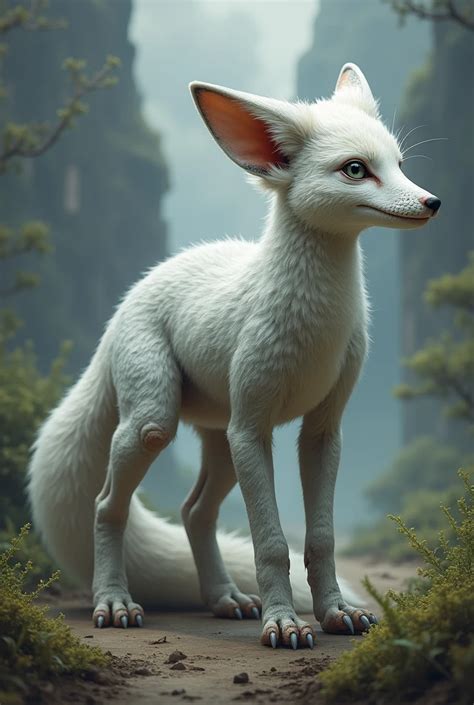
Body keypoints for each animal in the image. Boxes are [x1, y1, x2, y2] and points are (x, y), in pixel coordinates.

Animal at [28, 63, 440, 650]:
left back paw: (225, 599)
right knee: (109, 504)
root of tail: (128, 300)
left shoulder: (322, 429)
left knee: (194, 513)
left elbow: (320, 538)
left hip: (220, 440)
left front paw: (337, 613)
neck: (316, 328)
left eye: (399, 165)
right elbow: (271, 542)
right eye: (356, 170)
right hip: (156, 420)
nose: (432, 202)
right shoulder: (253, 426)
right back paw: (115, 602)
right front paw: (284, 624)